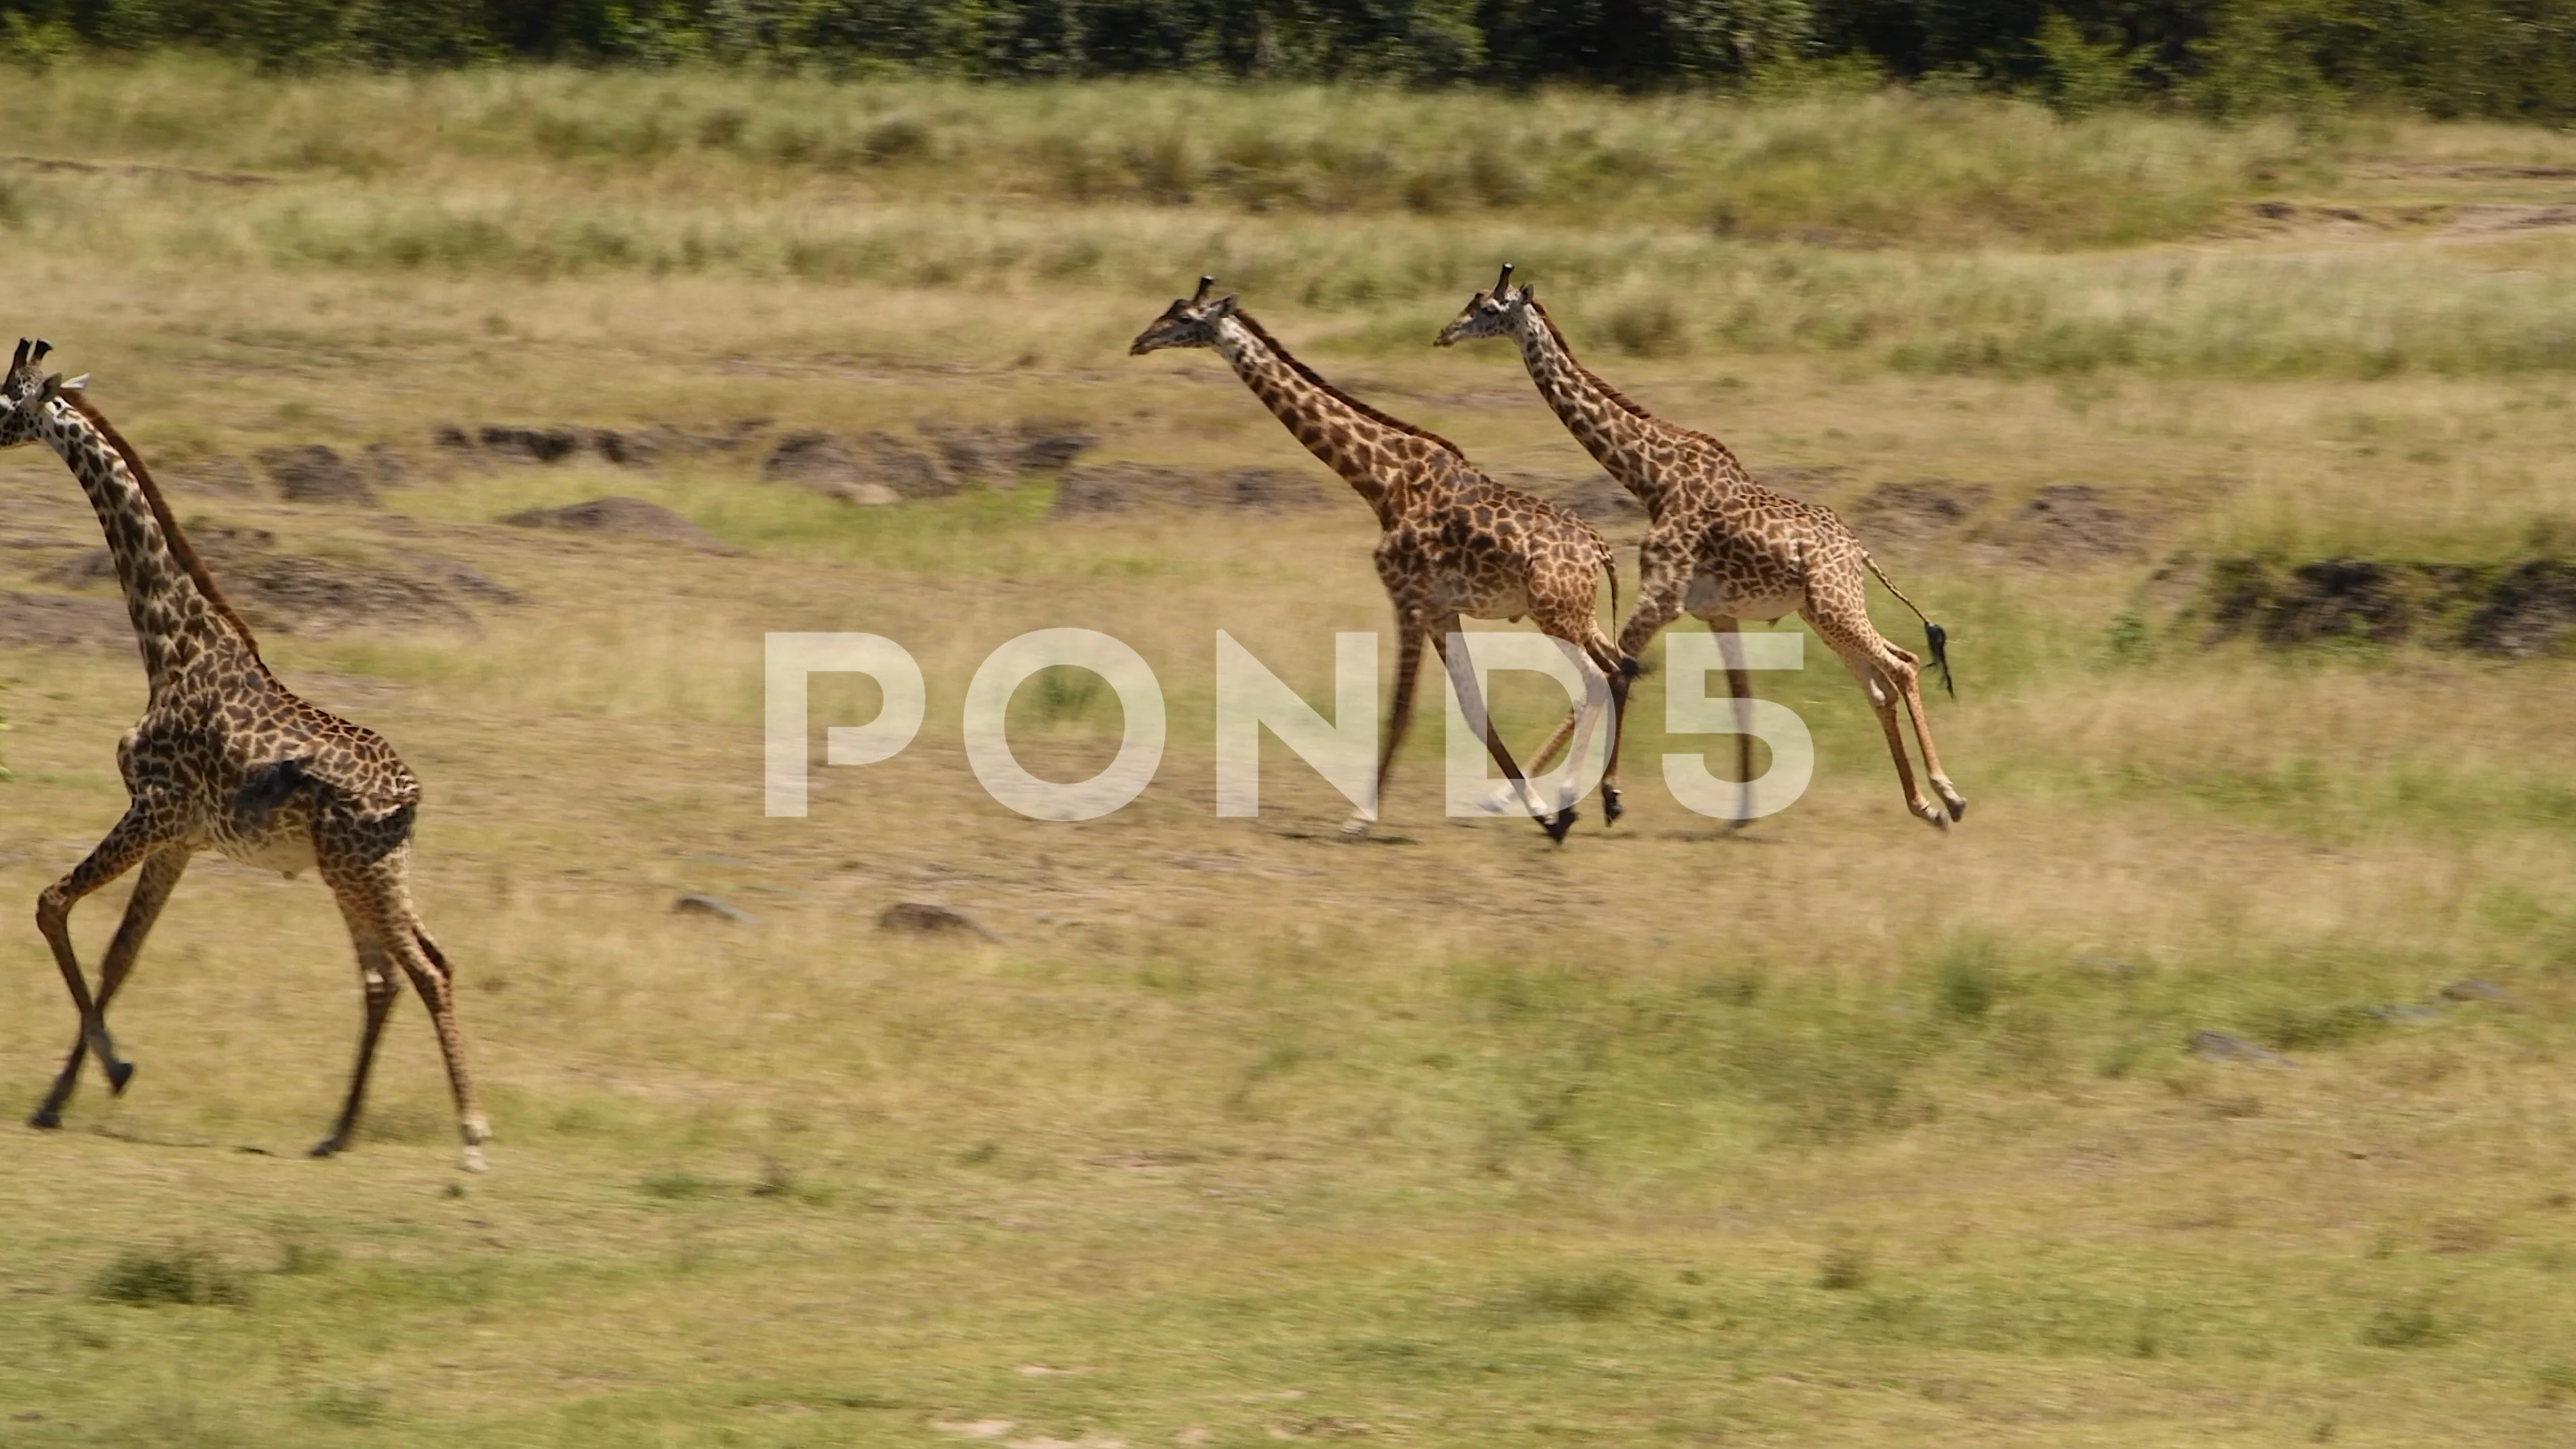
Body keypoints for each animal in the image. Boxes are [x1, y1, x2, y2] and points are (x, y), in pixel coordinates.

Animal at [2, 341, 491, 1170]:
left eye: (4, 401)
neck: (170, 648)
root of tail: (411, 795)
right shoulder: (180, 839)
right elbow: (120, 954)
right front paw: (66, 1094)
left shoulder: (155, 808)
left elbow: (52, 903)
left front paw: (107, 1072)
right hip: (362, 872)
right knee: (389, 976)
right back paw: (336, 1133)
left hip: (359, 872)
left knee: (423, 970)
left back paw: (471, 1136)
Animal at [1131, 278, 1636, 842]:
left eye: (1186, 318)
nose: (1139, 342)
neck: (1381, 480)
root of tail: (1601, 550)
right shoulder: (1441, 610)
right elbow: (1473, 708)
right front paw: (1540, 814)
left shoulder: (1408, 599)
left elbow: (1400, 709)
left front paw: (1359, 817)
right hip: (1577, 615)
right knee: (1620, 669)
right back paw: (1602, 801)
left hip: (1555, 615)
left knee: (1596, 679)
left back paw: (1575, 802)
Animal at [1437, 267, 1967, 830]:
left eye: (1489, 310)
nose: (1445, 333)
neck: (1652, 480)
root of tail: (1859, 551)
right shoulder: (1715, 611)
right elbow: (1740, 695)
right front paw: (1741, 808)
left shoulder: (1660, 596)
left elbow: (1602, 681)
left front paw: (1538, 796)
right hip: (1824, 615)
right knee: (1882, 684)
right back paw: (1926, 806)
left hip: (1834, 606)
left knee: (1903, 667)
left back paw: (1949, 793)